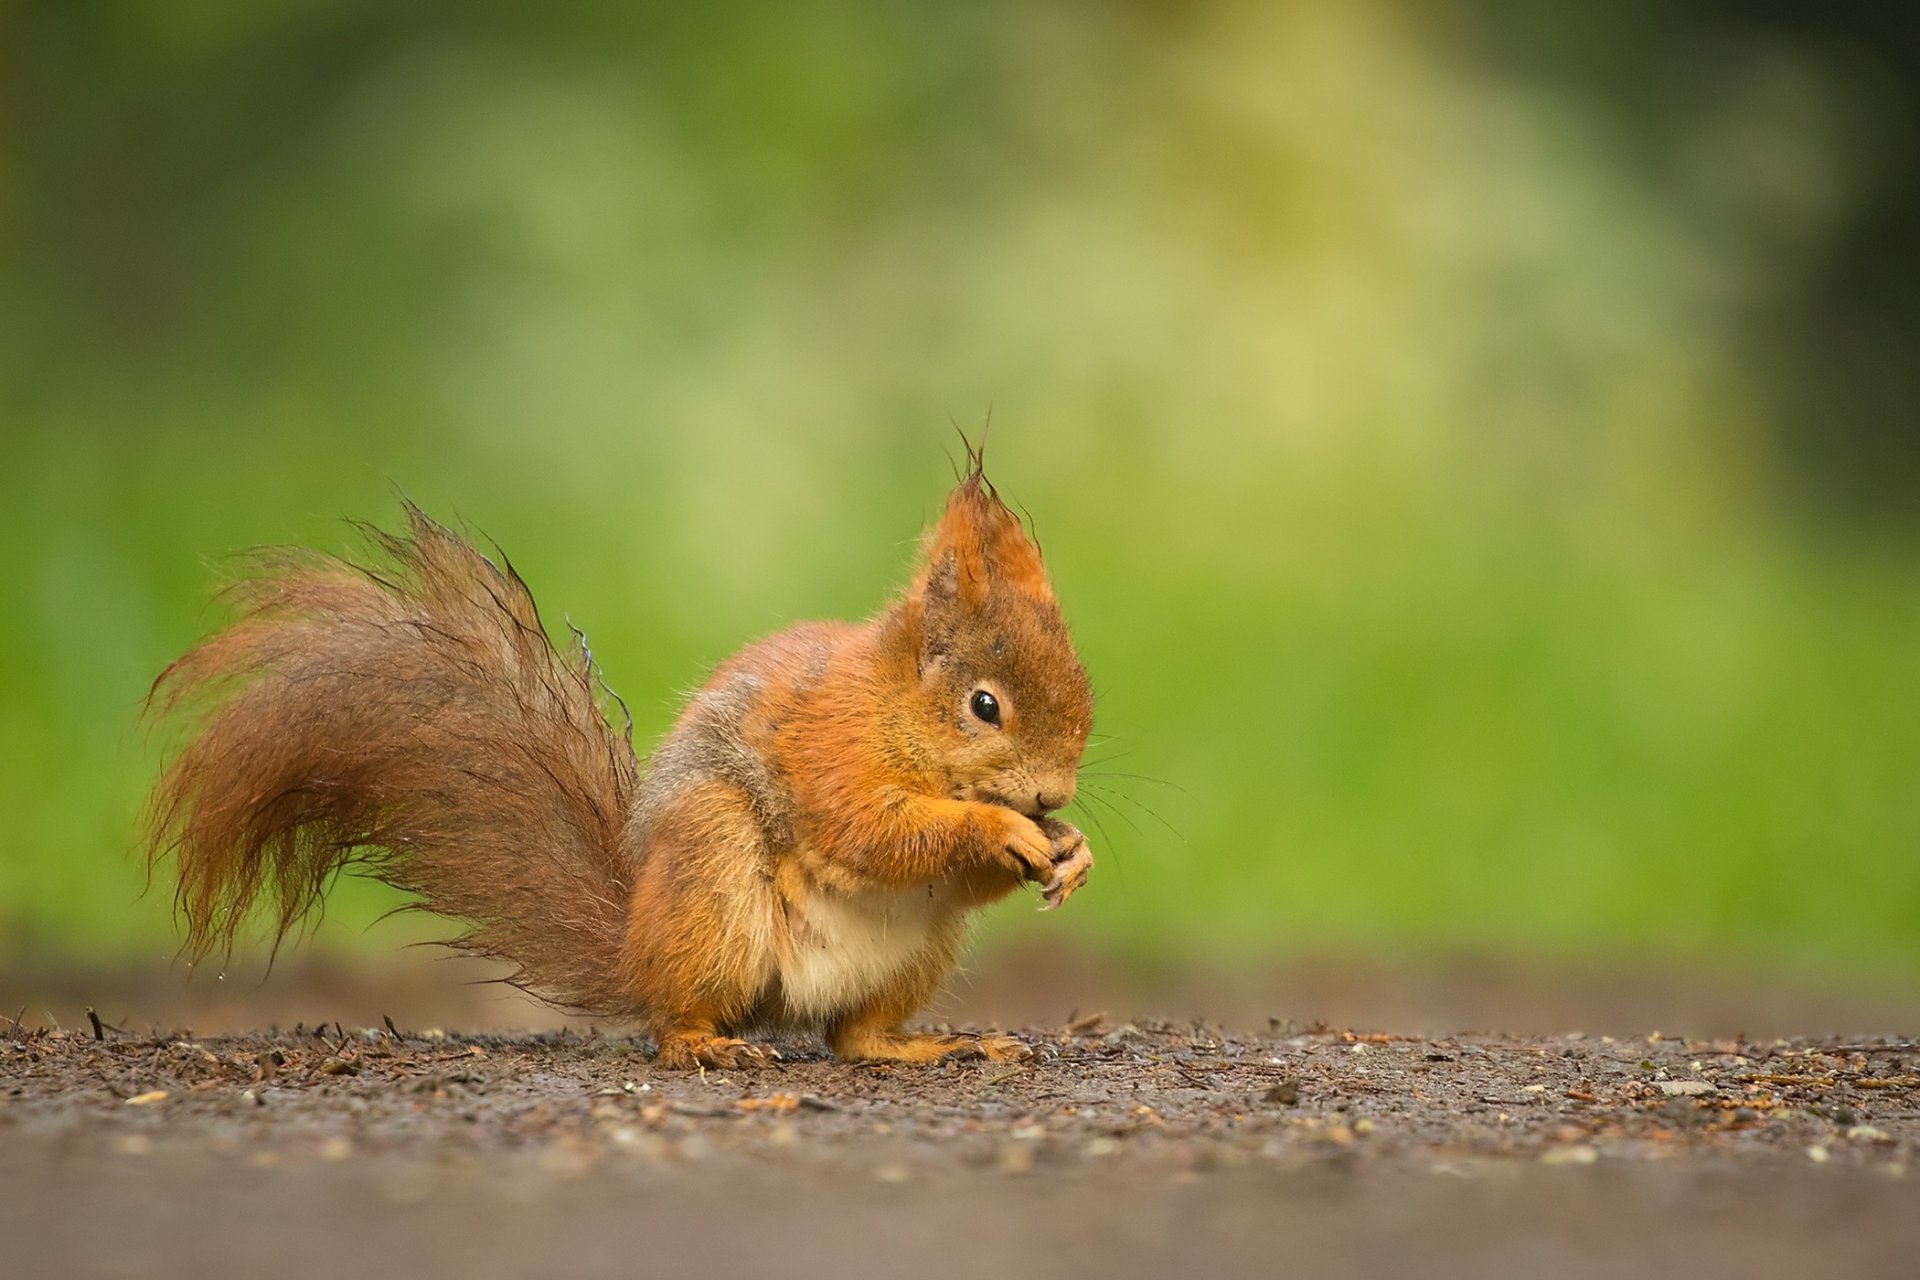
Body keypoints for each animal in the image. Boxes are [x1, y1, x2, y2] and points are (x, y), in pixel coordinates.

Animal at [143, 448, 1095, 1068]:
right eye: (984, 706)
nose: (1053, 793)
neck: (897, 712)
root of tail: (634, 947)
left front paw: (1072, 849)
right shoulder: (831, 746)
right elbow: (873, 829)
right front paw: (999, 829)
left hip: (918, 953)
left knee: (854, 1039)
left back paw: (923, 1046)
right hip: (713, 878)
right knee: (681, 1016)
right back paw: (705, 1045)